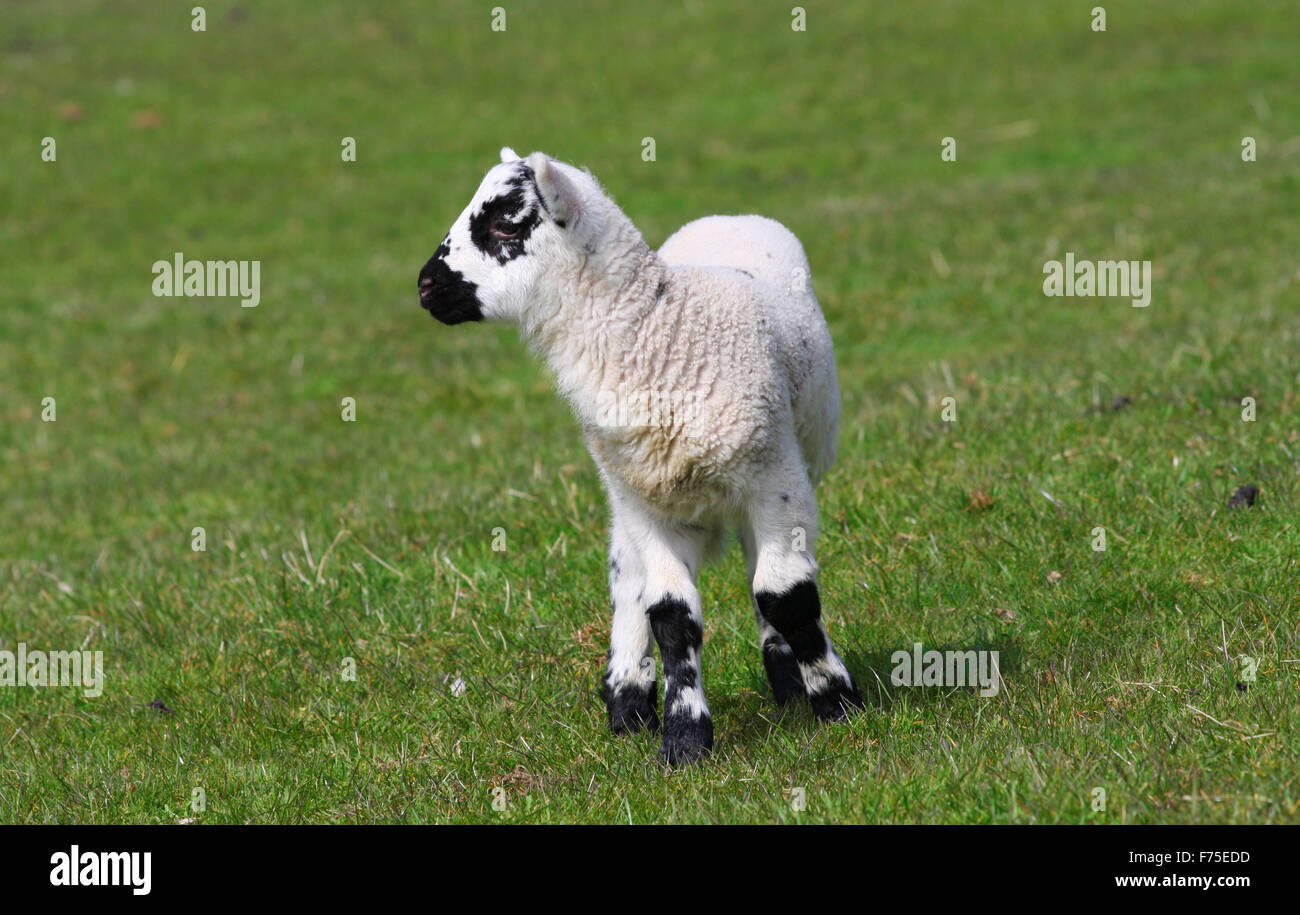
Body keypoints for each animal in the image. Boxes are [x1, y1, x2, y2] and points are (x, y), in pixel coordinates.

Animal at [417, 148, 861, 764]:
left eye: (506, 223)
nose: (425, 286)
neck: (657, 332)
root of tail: (727, 217)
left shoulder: (777, 479)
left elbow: (786, 596)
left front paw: (837, 702)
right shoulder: (643, 499)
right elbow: (671, 614)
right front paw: (683, 736)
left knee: (762, 571)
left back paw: (786, 680)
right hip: (625, 489)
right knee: (627, 576)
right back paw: (628, 701)